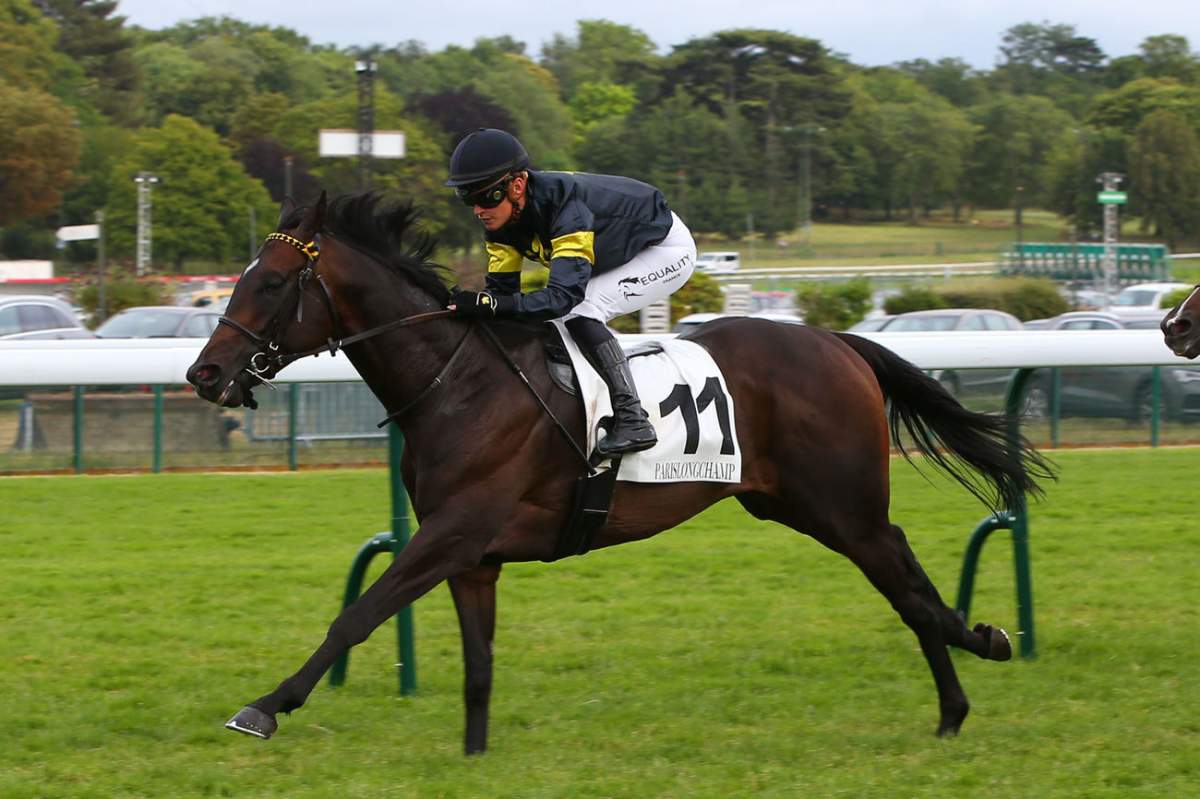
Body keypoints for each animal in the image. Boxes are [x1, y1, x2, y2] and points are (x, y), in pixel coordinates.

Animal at [186, 191, 1052, 755]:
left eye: (269, 283)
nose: (205, 373)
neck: (459, 379)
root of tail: (838, 341)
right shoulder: (472, 553)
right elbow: (477, 662)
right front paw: (474, 754)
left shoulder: (451, 531)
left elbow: (356, 614)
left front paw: (265, 706)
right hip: (794, 504)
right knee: (904, 584)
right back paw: (956, 700)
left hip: (842, 505)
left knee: (907, 584)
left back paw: (980, 648)